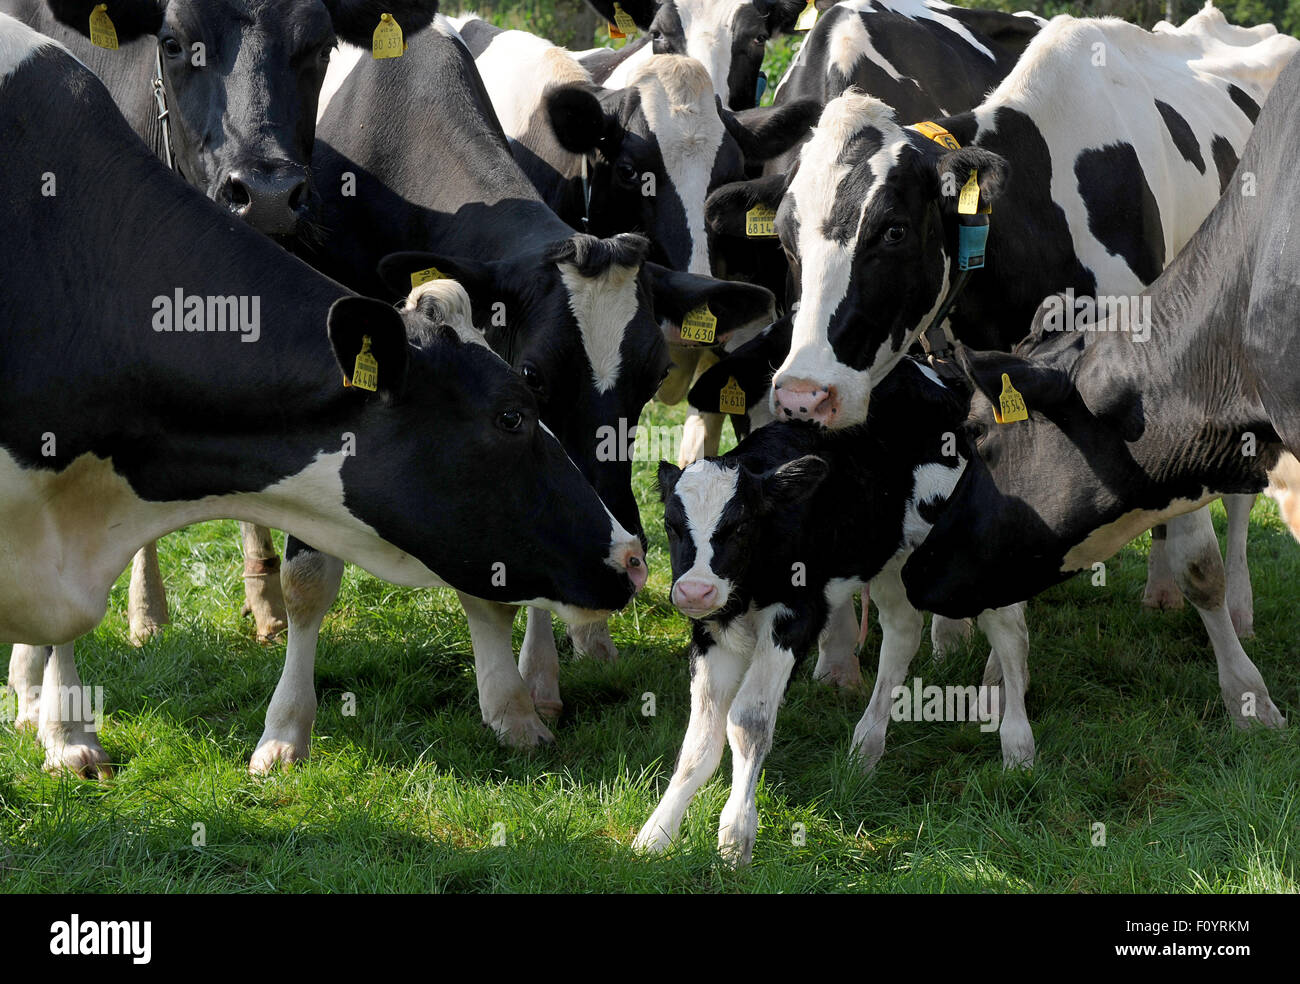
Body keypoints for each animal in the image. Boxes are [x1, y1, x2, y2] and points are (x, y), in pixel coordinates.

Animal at [242, 18, 776, 769]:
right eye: (534, 376)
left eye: (646, 382)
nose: (629, 543)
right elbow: (310, 578)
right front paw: (286, 730)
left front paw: (518, 698)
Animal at [642, 358, 1031, 864]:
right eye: (671, 524)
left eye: (740, 524)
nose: (694, 591)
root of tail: (934, 372)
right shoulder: (712, 630)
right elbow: (698, 743)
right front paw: (656, 834)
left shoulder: (795, 615)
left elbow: (747, 722)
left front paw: (735, 836)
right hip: (889, 557)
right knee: (903, 632)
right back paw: (866, 748)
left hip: (968, 546)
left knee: (1011, 632)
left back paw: (1018, 747)